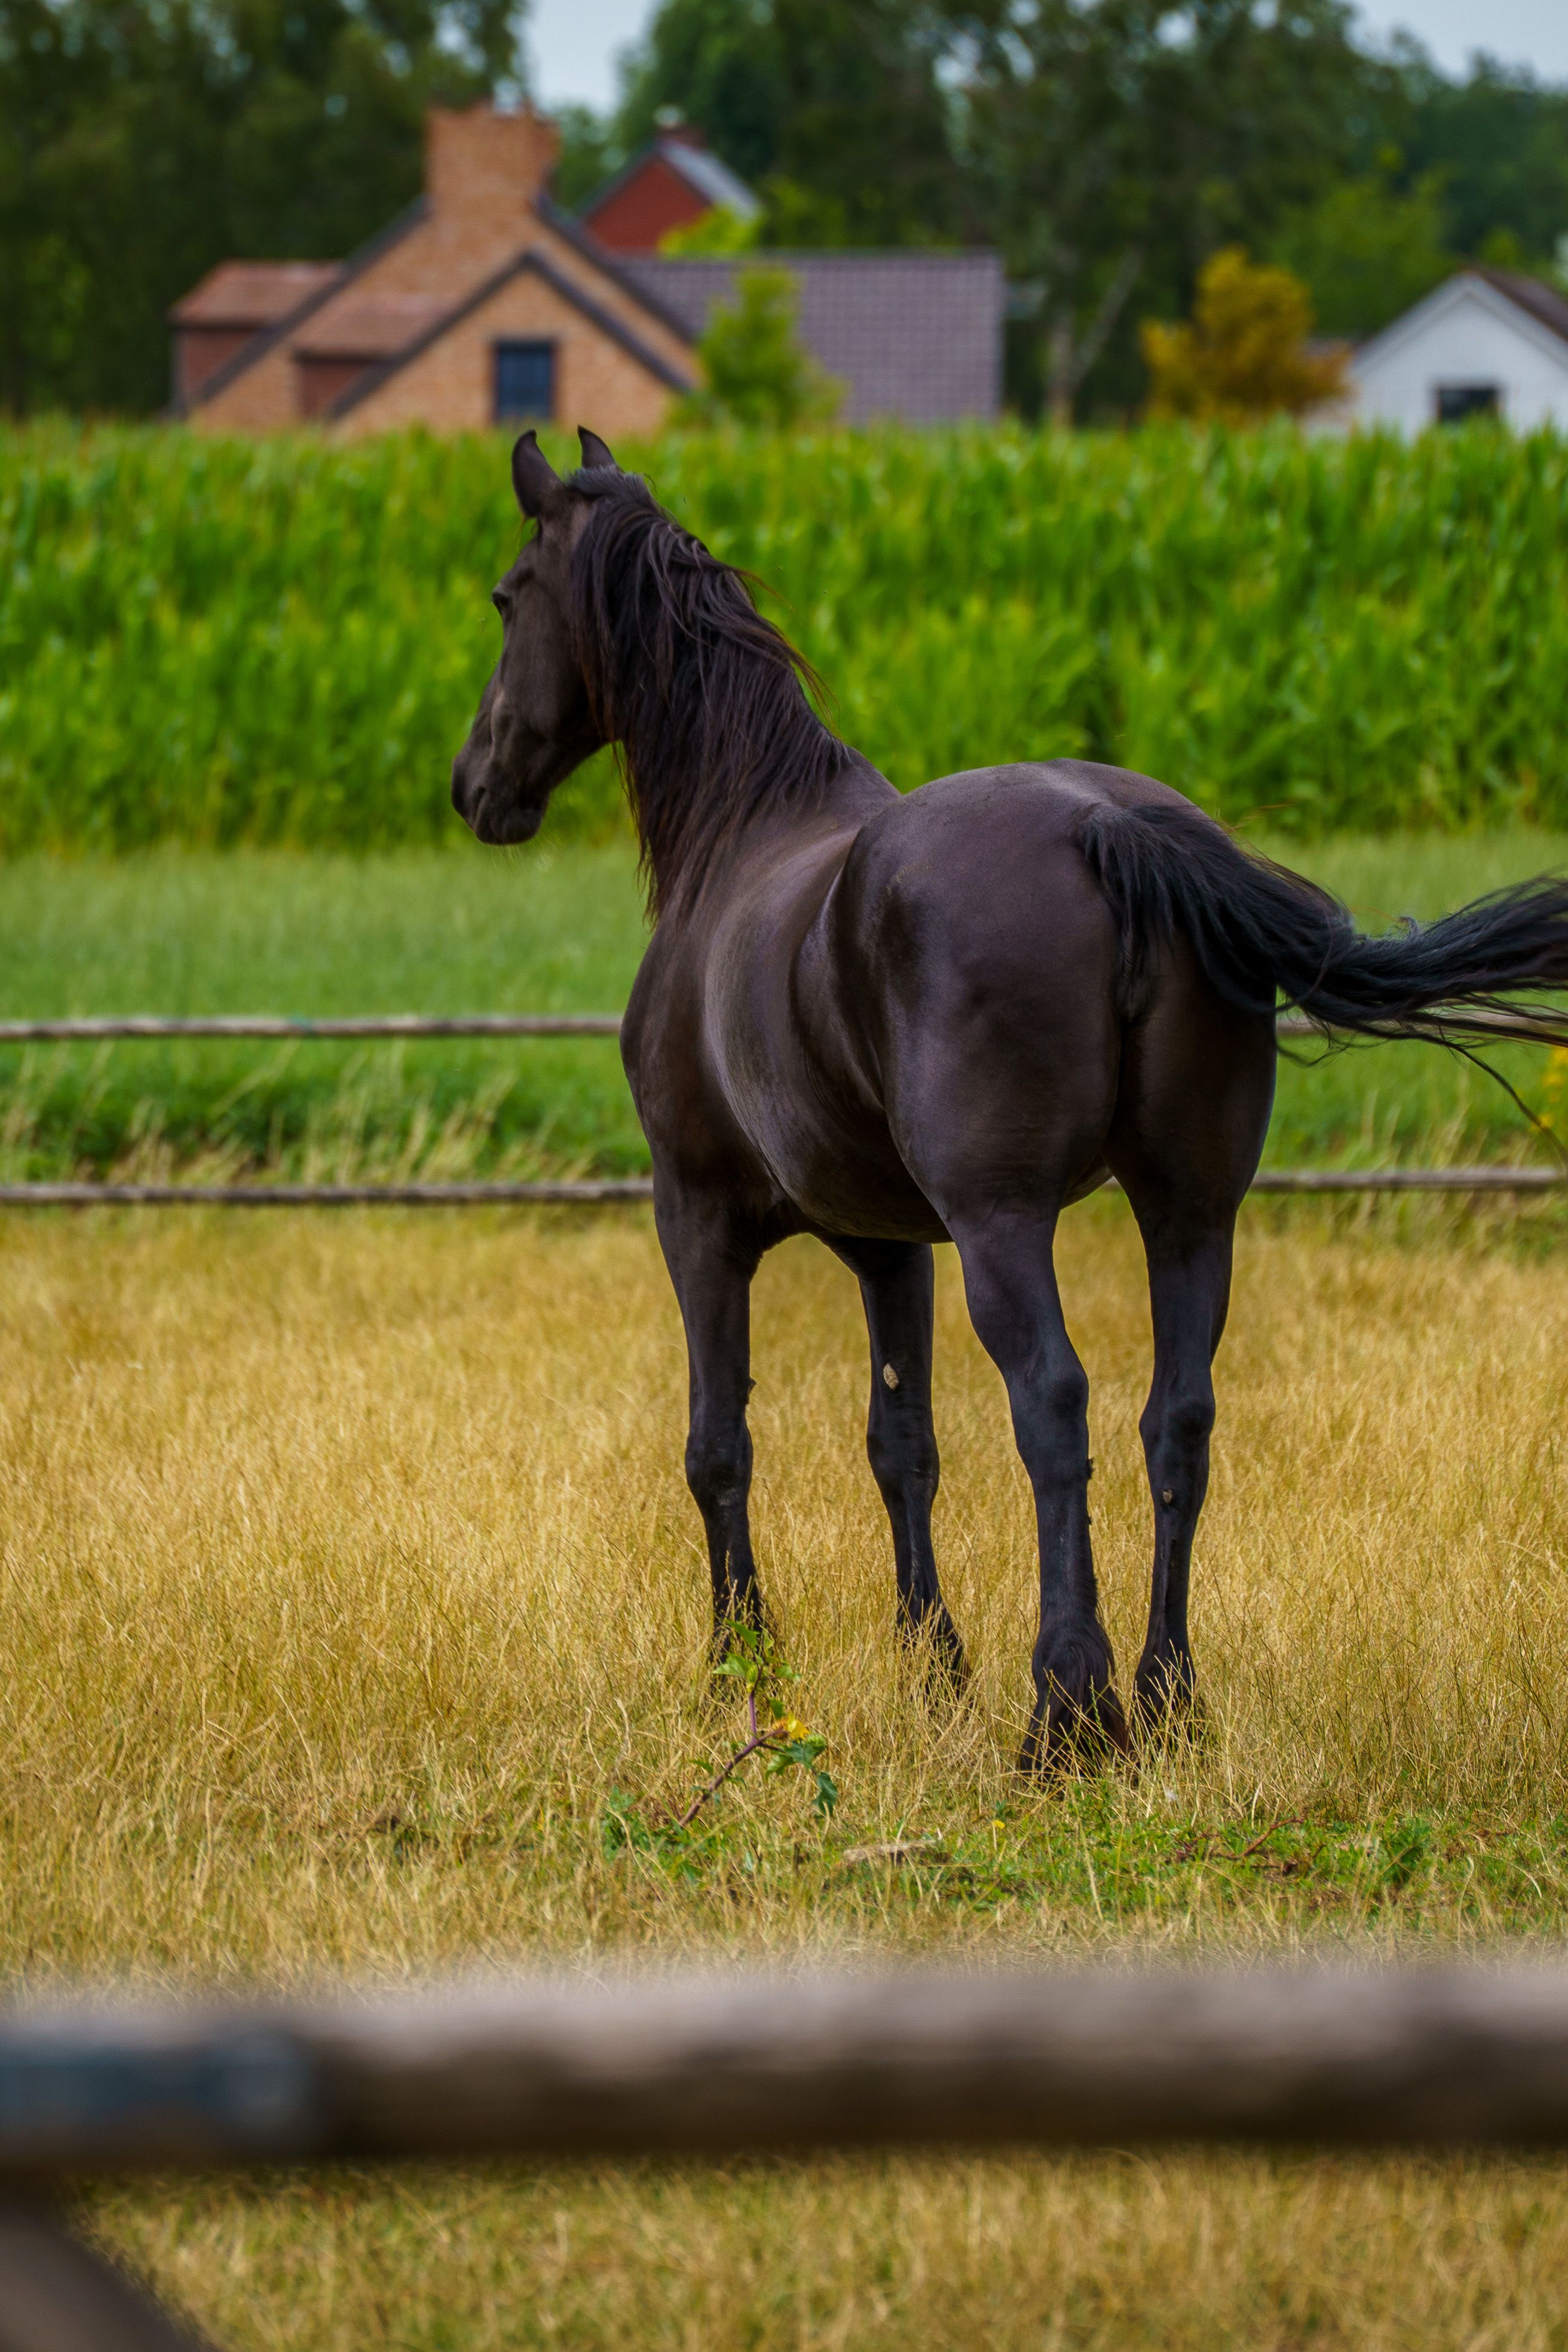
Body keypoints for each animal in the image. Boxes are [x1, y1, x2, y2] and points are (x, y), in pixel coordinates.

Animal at [452, 426, 1568, 1771]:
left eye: (508, 595)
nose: (473, 785)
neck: (741, 831)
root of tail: (1111, 830)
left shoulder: (699, 1217)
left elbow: (718, 1447)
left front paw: (743, 1678)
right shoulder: (889, 1247)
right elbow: (901, 1447)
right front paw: (931, 1673)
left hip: (1002, 1226)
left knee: (1053, 1409)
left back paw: (1067, 1709)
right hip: (1189, 1213)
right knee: (1176, 1420)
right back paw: (1166, 1696)